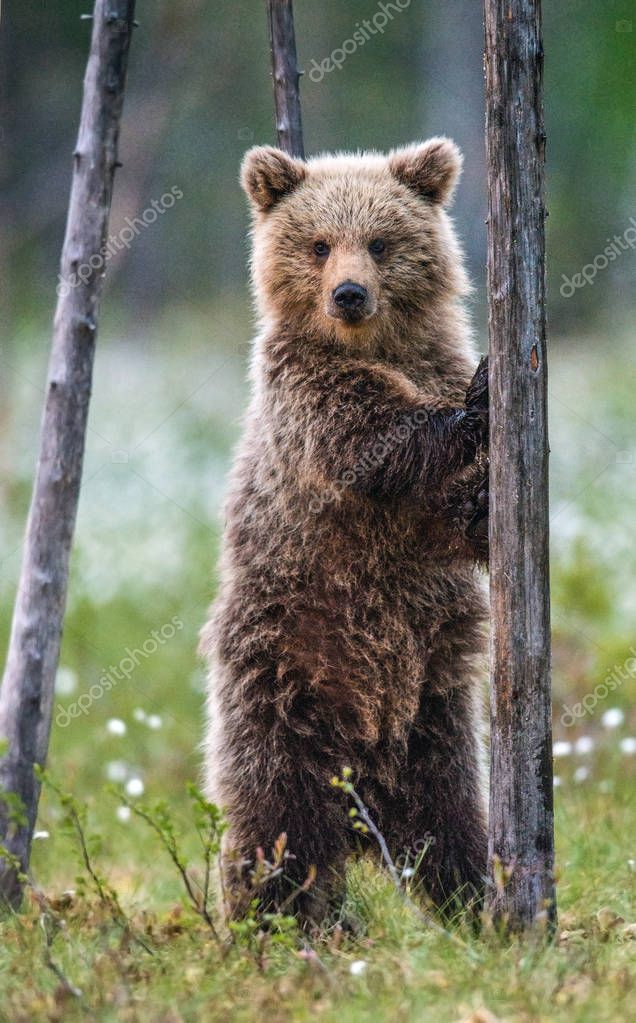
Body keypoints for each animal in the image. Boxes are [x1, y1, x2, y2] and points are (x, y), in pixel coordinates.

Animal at [199, 138, 489, 930]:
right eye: (319, 243)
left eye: (382, 242)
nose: (349, 295)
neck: (376, 347)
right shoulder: (303, 396)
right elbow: (370, 438)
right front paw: (475, 408)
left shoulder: (434, 363)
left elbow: (452, 518)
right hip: (276, 683)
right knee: (276, 825)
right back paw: (276, 922)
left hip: (434, 719)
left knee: (451, 821)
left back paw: (475, 903)